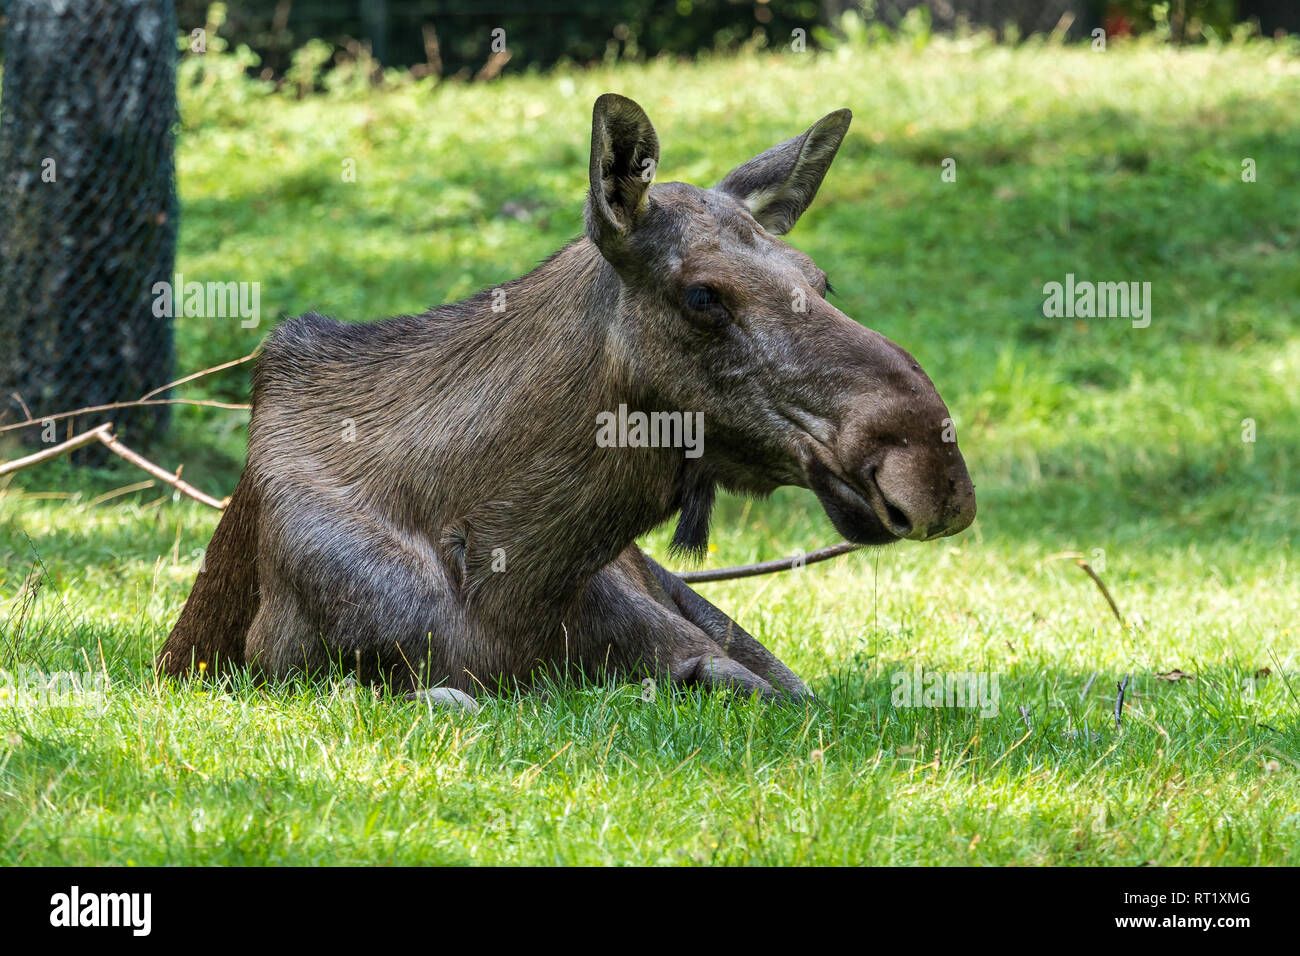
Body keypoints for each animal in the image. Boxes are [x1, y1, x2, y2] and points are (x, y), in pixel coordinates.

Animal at [156, 94, 976, 708]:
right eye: (702, 295)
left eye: (820, 279)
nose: (932, 471)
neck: (516, 582)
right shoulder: (289, 670)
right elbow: (448, 695)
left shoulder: (716, 656)